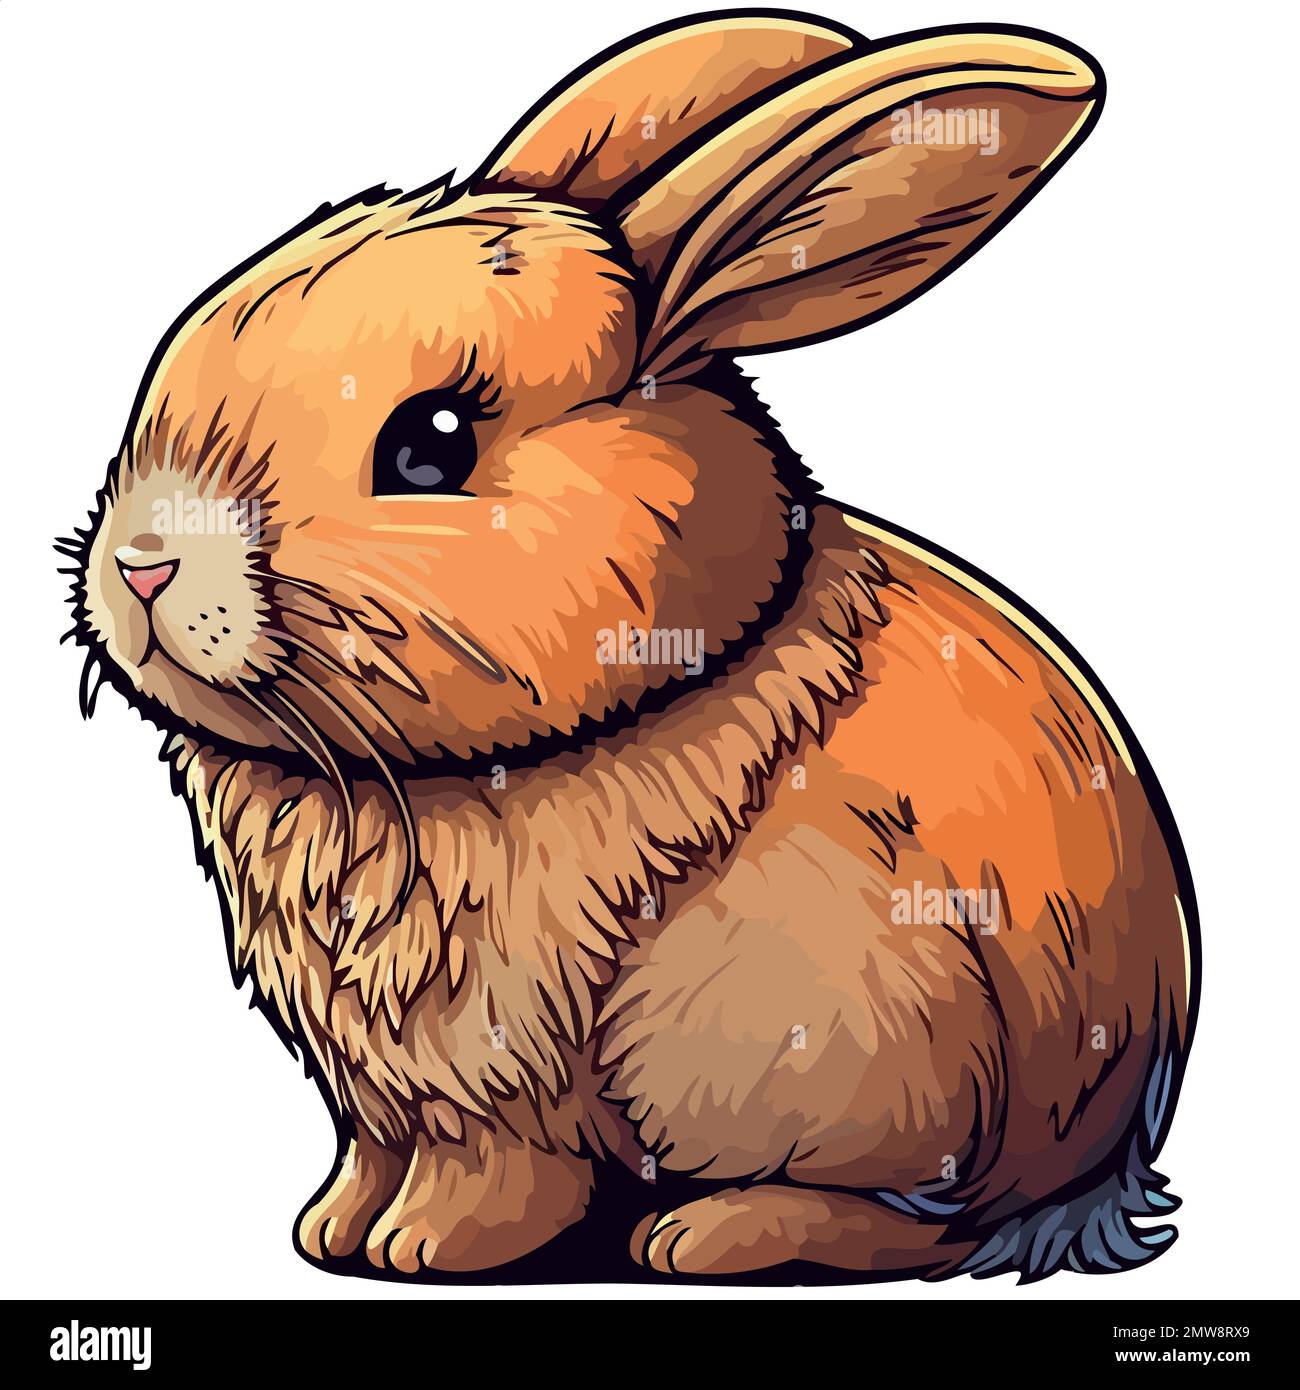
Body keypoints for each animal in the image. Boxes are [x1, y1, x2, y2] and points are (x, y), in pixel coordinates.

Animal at [66, 11, 1198, 1281]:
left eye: (429, 445)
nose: (143, 564)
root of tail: (1094, 1151)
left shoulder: (495, 1075)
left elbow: (493, 1169)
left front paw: (424, 1246)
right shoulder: (384, 1091)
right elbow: (373, 1150)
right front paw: (333, 1227)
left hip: (810, 1035)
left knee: (910, 1218)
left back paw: (705, 1233)